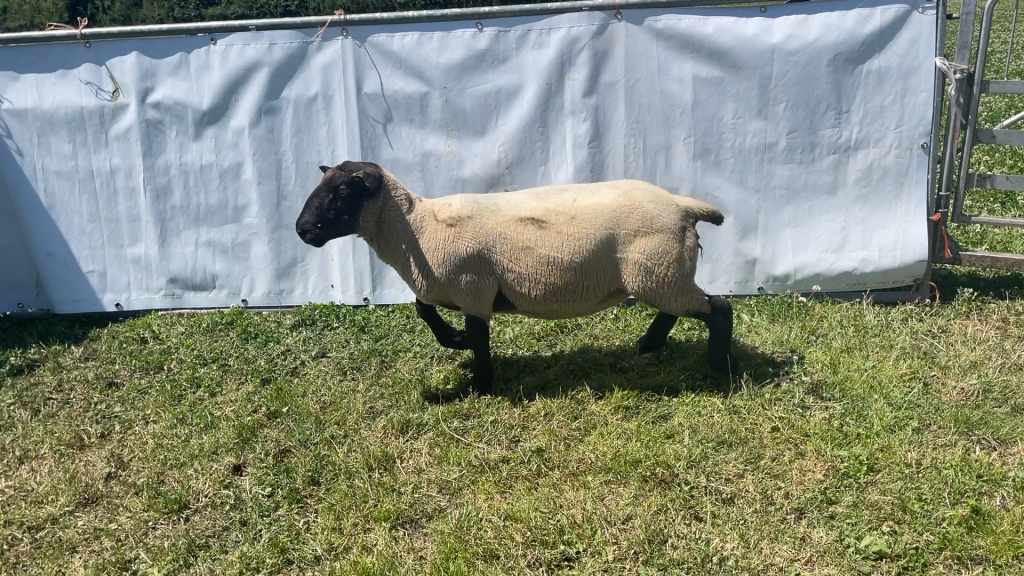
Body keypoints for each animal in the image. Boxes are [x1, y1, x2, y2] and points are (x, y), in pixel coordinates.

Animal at [295, 160, 738, 394]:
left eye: (342, 193)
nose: (302, 230)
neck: (417, 228)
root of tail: (683, 207)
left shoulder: (473, 287)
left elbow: (477, 337)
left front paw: (477, 386)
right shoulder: (454, 287)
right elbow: (425, 310)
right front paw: (455, 343)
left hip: (657, 269)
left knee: (718, 309)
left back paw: (719, 366)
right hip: (663, 272)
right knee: (678, 308)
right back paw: (649, 345)